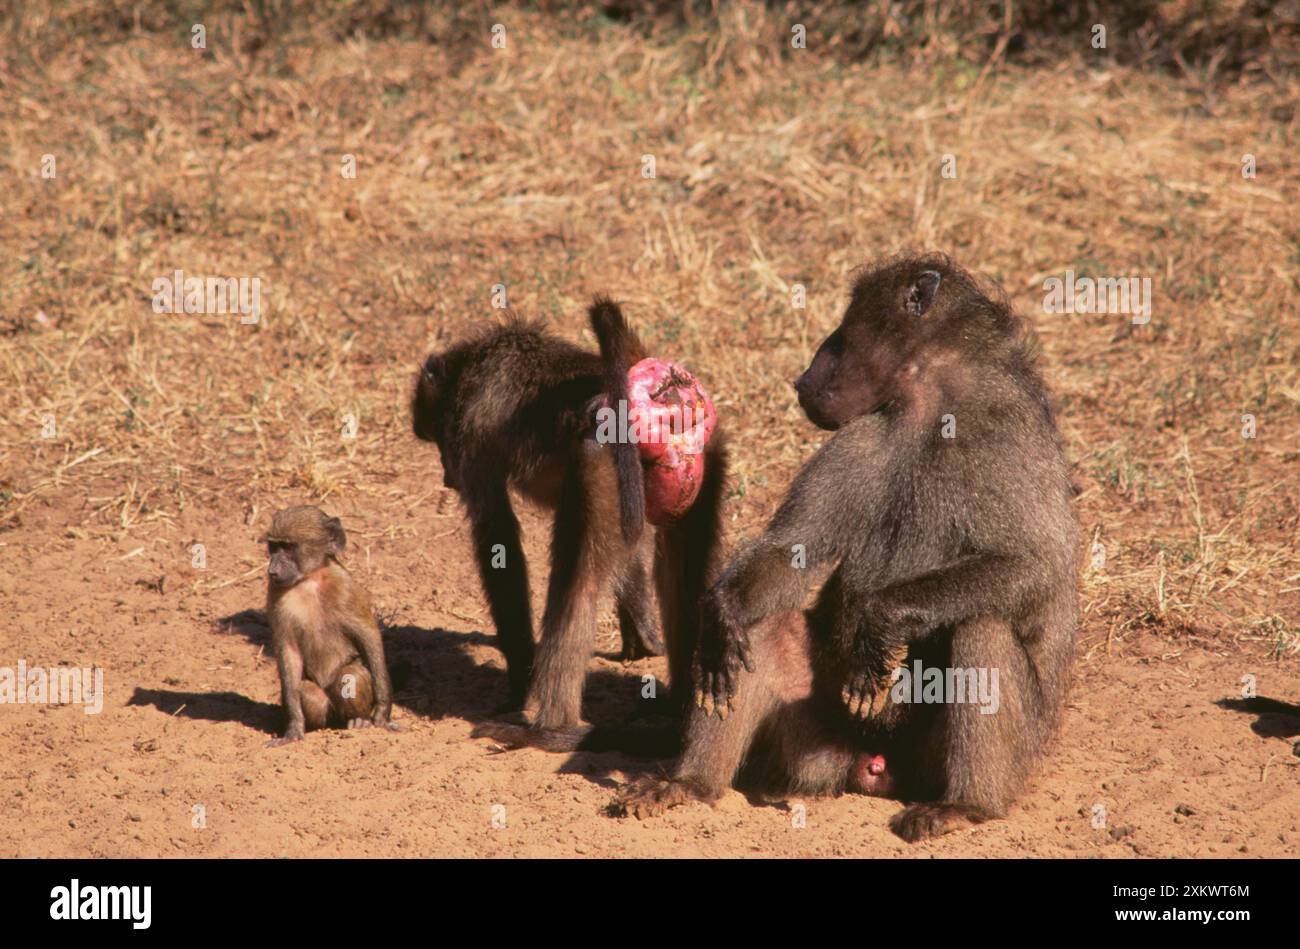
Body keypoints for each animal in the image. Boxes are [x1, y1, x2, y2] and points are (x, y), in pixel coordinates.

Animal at [264, 505, 398, 747]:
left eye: (288, 547)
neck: (309, 579)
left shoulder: (345, 587)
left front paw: (383, 712)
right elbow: (288, 651)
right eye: (274, 547)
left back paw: (358, 720)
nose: (272, 570)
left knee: (351, 674)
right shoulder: (275, 591)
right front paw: (293, 728)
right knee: (306, 691)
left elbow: (369, 635)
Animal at [411, 300, 728, 748]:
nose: (445, 476)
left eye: (437, 437)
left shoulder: (467, 435)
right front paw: (641, 633)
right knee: (684, 578)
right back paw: (681, 706)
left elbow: (498, 536)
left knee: (578, 586)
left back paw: (548, 729)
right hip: (696, 455)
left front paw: (518, 687)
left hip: (603, 460)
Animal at [612, 254, 1079, 841]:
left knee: (983, 626)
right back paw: (687, 782)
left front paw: (880, 618)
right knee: (765, 627)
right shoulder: (861, 438)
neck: (935, 404)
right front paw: (720, 615)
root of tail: (877, 762)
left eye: (842, 333)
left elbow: (1037, 566)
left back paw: (965, 805)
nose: (804, 377)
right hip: (821, 738)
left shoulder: (1009, 435)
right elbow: (790, 550)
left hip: (996, 749)